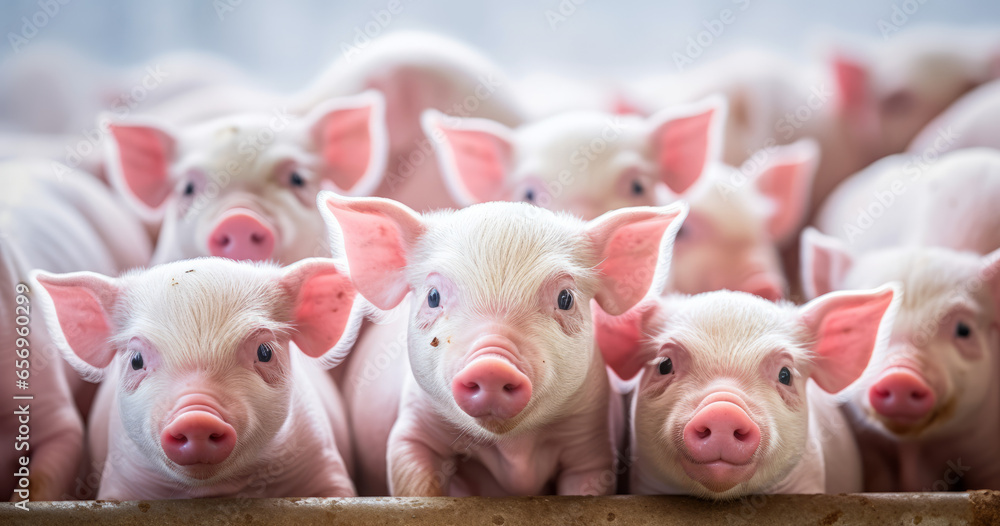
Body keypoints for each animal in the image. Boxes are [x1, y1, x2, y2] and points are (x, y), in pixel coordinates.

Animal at [31, 257, 365, 499]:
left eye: (265, 352)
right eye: (136, 360)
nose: (197, 416)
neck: (215, 491)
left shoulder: (326, 465)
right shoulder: (118, 483)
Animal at [323, 192, 687, 496]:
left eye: (566, 298)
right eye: (433, 296)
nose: (492, 364)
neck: (515, 449)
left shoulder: (590, 446)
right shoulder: (412, 429)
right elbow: (415, 482)